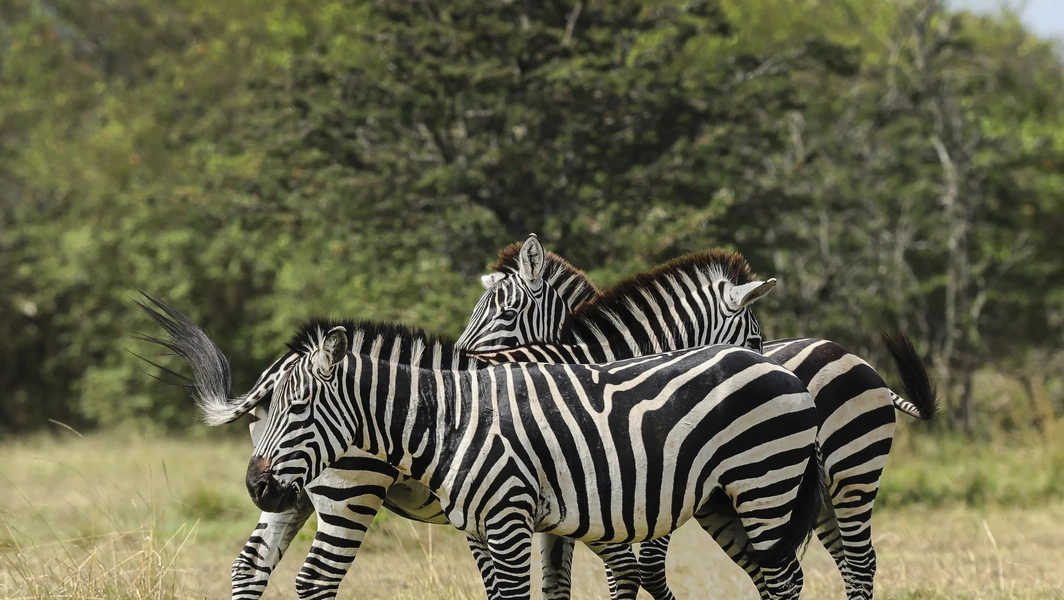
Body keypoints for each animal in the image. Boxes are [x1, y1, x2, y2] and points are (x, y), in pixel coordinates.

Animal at [139, 295, 828, 600]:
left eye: (302, 408)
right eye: (281, 411)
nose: (254, 485)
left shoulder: (537, 515)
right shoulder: (529, 517)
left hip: (759, 486)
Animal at [454, 234, 940, 600]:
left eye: (507, 312)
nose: (462, 364)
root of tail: (850, 353)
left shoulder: (648, 490)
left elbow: (639, 573)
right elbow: (562, 581)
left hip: (851, 474)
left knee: (858, 562)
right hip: (805, 498)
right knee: (831, 562)